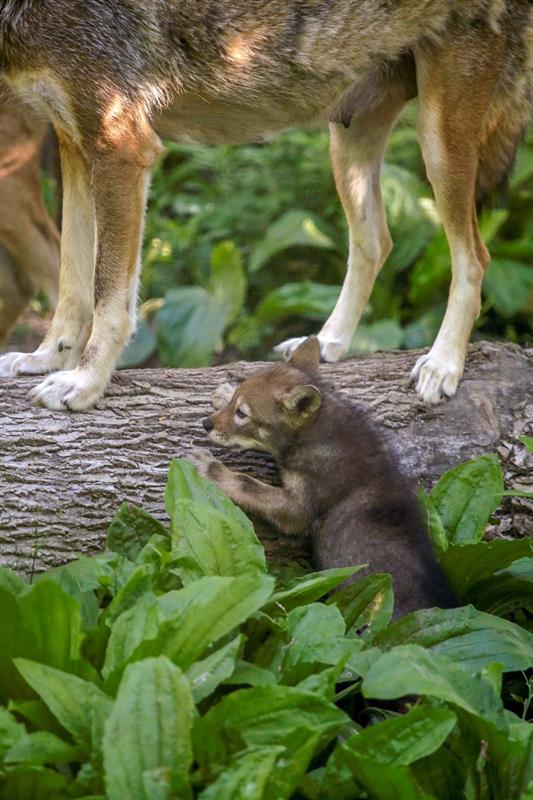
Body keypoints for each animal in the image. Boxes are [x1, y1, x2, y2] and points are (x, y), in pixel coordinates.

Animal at [0, 1, 530, 410]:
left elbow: (109, 299)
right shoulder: (73, 143)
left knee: (474, 258)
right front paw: (47, 358)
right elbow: (71, 280)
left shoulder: (120, 148)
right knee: (377, 243)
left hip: (438, 143)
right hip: (348, 143)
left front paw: (84, 383)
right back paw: (328, 344)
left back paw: (443, 364)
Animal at [192, 337, 455, 616]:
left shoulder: (298, 508)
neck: (319, 430)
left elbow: (248, 484)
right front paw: (224, 391)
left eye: (242, 414)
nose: (206, 424)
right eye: (235, 403)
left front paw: (210, 468)